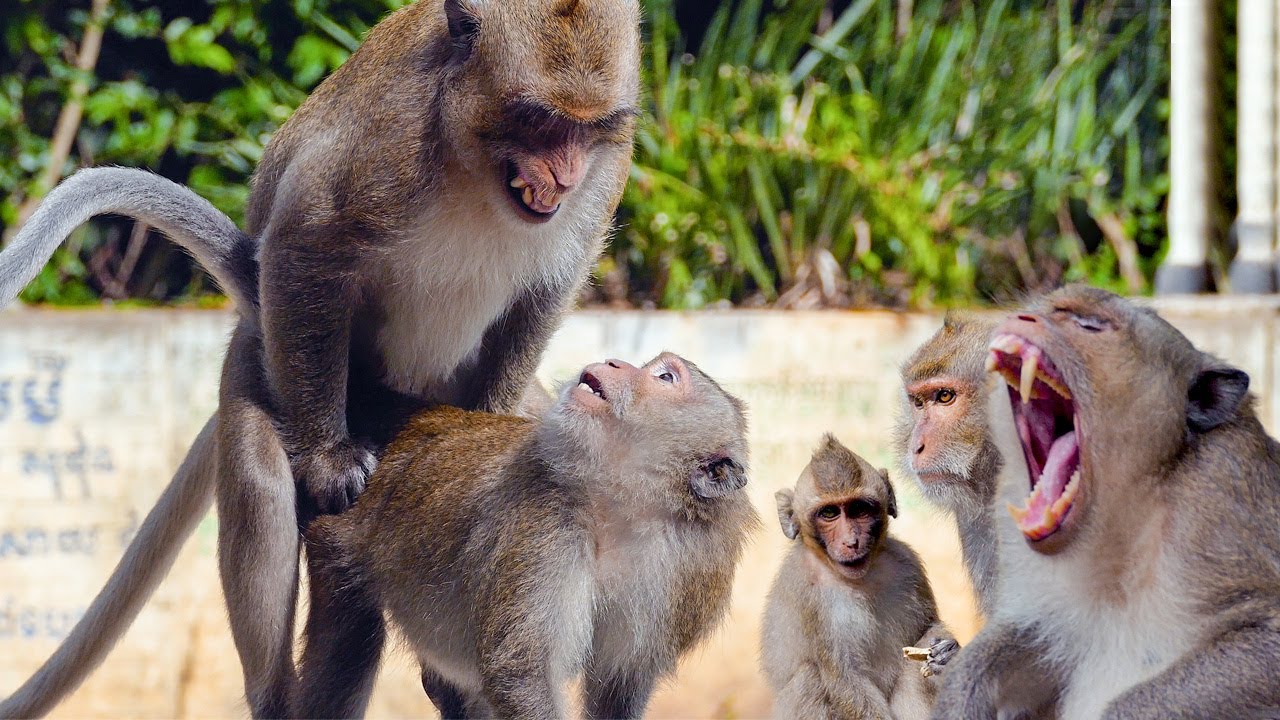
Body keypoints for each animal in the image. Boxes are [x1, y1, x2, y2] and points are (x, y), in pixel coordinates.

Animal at [0, 1, 641, 716]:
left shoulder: (606, 176)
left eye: (585, 129)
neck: (476, 167)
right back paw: (275, 690)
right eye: (537, 121)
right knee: (263, 479)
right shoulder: (388, 144)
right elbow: (310, 246)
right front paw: (331, 461)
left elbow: (545, 292)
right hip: (263, 358)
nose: (564, 176)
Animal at [291, 352, 758, 719]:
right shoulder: (545, 528)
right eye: (653, 370)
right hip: (341, 537)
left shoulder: (686, 568)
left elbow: (617, 686)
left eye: (665, 377)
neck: (622, 510)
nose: (613, 362)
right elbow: (522, 674)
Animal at [761, 434, 959, 720]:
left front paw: (946, 651)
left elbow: (925, 632)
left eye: (858, 509)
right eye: (829, 513)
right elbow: (845, 679)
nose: (851, 542)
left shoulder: (908, 563)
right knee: (809, 678)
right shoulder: (810, 596)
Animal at [932, 285, 1280, 720]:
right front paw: (958, 689)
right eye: (1050, 309)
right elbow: (1036, 635)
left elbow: (1266, 642)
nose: (1024, 319)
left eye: (1090, 325)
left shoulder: (1220, 494)